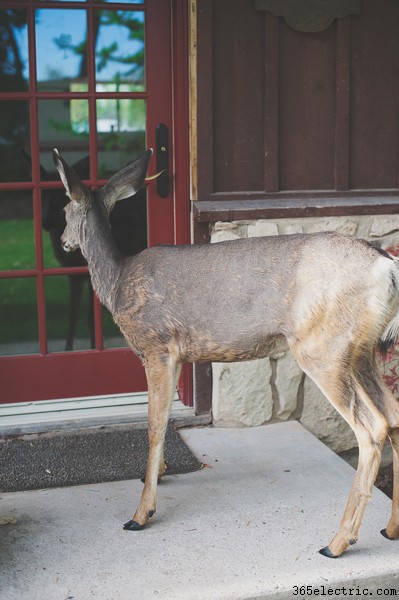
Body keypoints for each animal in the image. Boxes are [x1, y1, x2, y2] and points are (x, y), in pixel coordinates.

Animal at [54, 146, 399, 556]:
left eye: (64, 209)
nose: (62, 242)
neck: (118, 281)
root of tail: (386, 266)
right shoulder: (177, 355)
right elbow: (165, 419)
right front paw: (161, 473)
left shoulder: (156, 345)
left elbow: (153, 424)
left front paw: (141, 512)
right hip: (362, 350)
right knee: (393, 415)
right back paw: (390, 529)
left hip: (323, 347)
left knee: (373, 426)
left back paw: (338, 541)